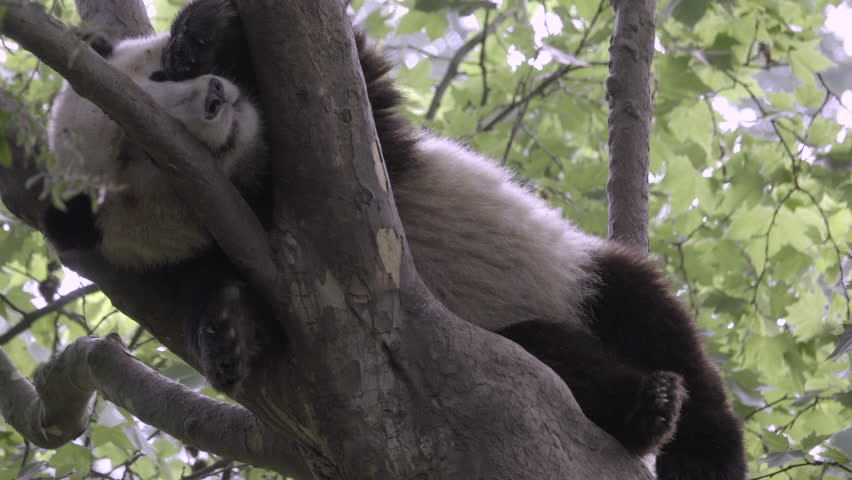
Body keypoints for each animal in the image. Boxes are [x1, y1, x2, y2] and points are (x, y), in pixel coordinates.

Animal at [44, 1, 747, 479]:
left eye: (162, 76)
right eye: (146, 155)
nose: (215, 99)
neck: (253, 181)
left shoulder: (351, 141)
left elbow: (348, 65)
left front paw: (200, 31)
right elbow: (252, 314)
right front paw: (226, 329)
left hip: (573, 277)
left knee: (650, 324)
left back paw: (678, 425)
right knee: (546, 353)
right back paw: (637, 410)